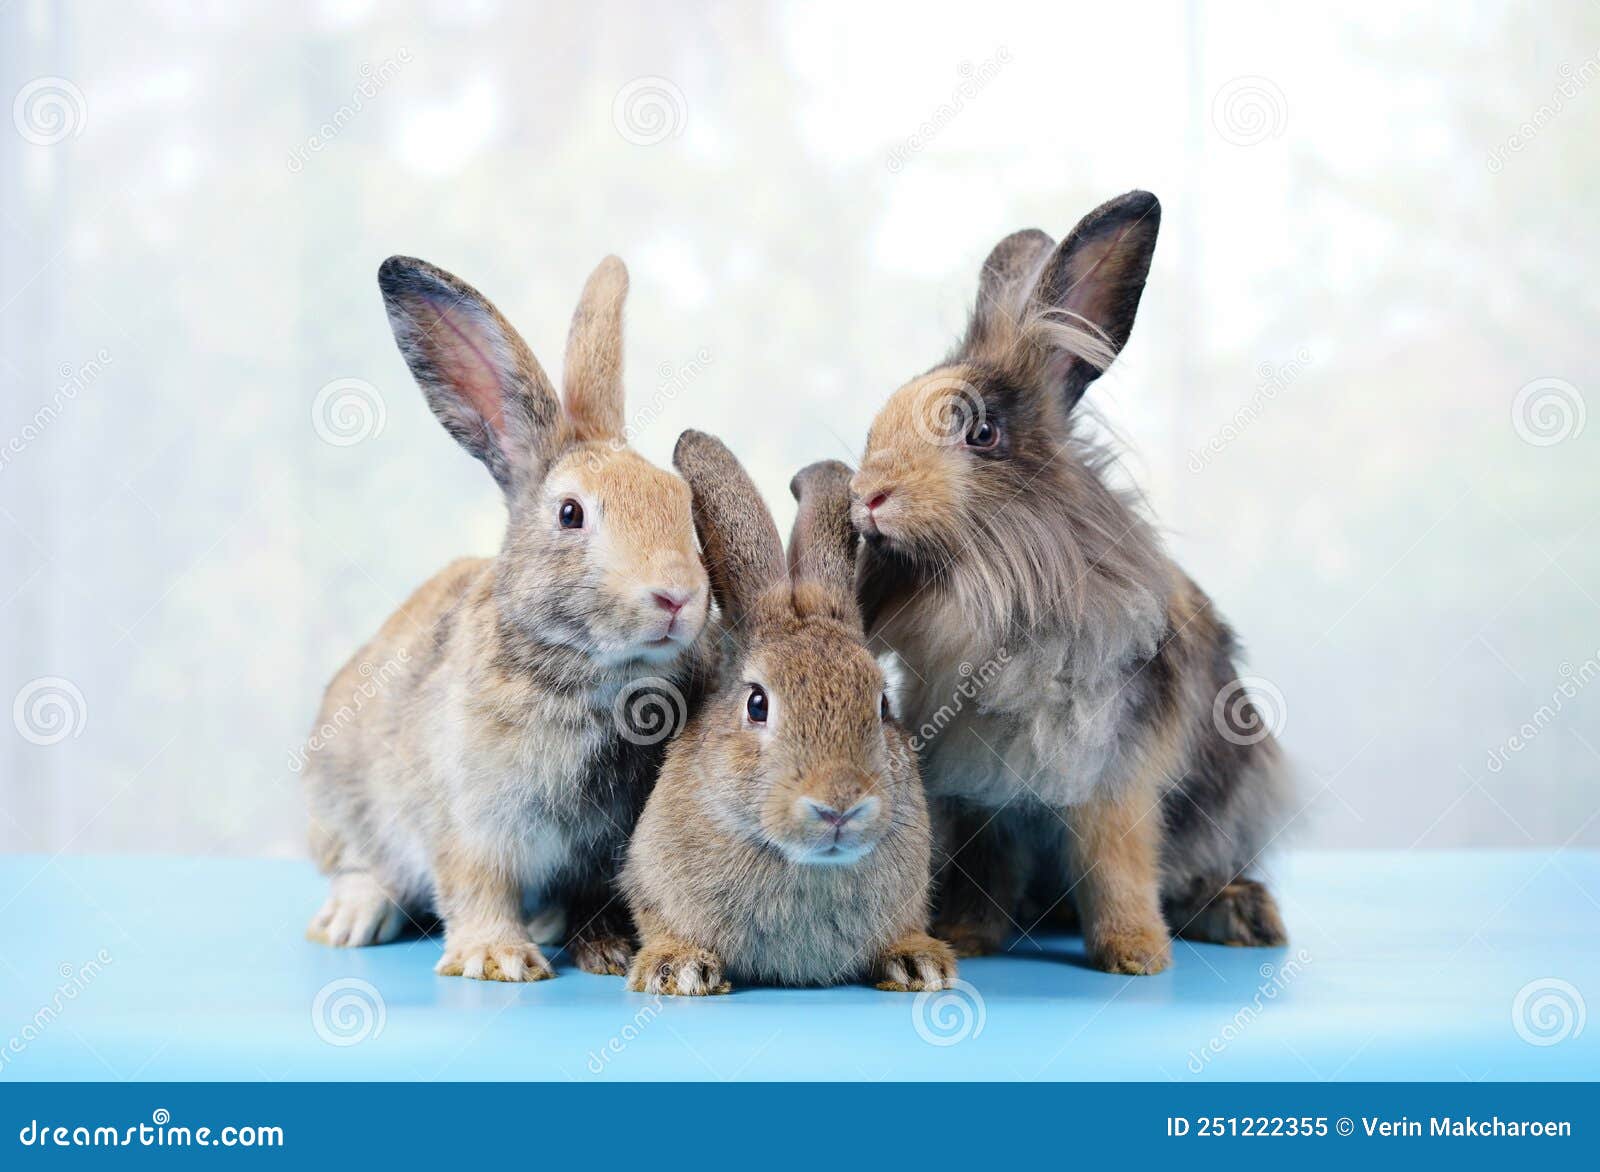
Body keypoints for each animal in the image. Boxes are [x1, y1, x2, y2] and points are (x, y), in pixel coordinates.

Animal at [301, 254, 712, 982]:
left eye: (679, 500)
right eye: (571, 514)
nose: (677, 597)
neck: (590, 673)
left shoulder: (606, 848)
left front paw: (607, 949)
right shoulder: (470, 824)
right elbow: (475, 884)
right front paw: (498, 957)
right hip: (341, 800)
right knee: (359, 864)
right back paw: (351, 919)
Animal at [847, 190, 1290, 975]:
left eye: (980, 432)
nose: (867, 495)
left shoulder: (1113, 777)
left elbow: (1118, 867)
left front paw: (1136, 954)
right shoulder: (982, 793)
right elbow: (987, 870)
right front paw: (966, 936)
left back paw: (1241, 912)